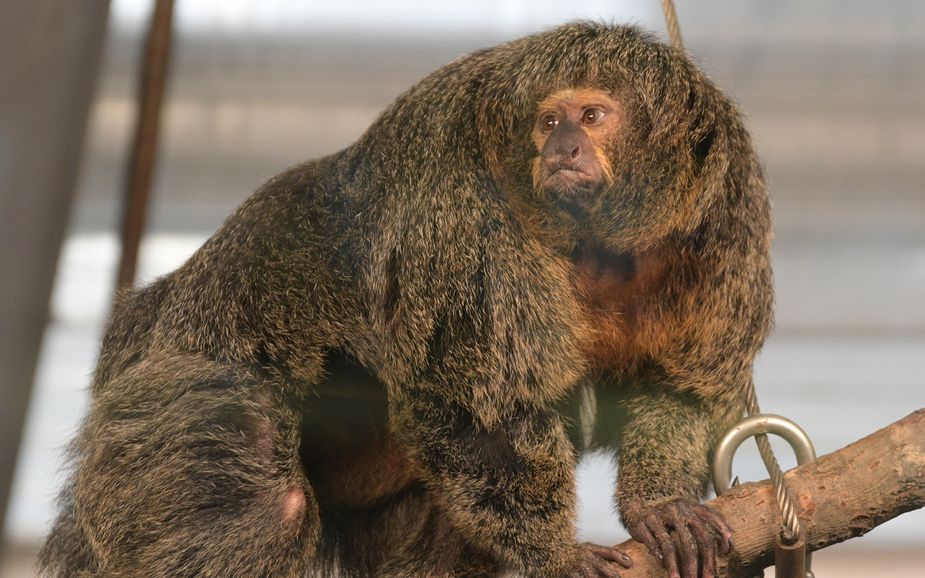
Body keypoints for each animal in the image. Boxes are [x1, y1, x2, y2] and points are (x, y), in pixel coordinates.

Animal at [40, 22, 772, 578]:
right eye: (548, 121)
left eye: (593, 116)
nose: (563, 147)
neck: (597, 246)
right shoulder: (460, 212)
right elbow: (474, 410)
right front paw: (555, 554)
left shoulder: (725, 217)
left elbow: (679, 385)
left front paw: (657, 509)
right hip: (164, 401)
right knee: (262, 498)